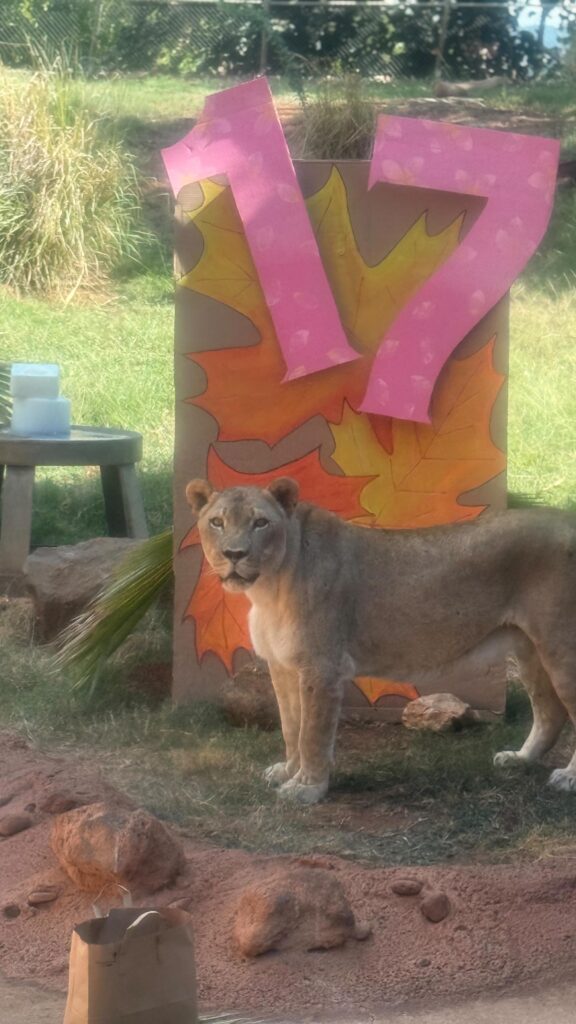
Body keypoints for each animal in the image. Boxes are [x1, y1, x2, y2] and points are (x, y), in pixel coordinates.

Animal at [186, 476, 576, 805]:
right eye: (217, 522)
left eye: (260, 523)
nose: (234, 554)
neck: (269, 587)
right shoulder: (282, 666)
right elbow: (290, 726)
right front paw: (287, 771)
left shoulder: (322, 668)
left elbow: (312, 733)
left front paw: (307, 788)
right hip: (529, 649)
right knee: (551, 712)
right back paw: (519, 759)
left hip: (561, 648)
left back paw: (568, 778)